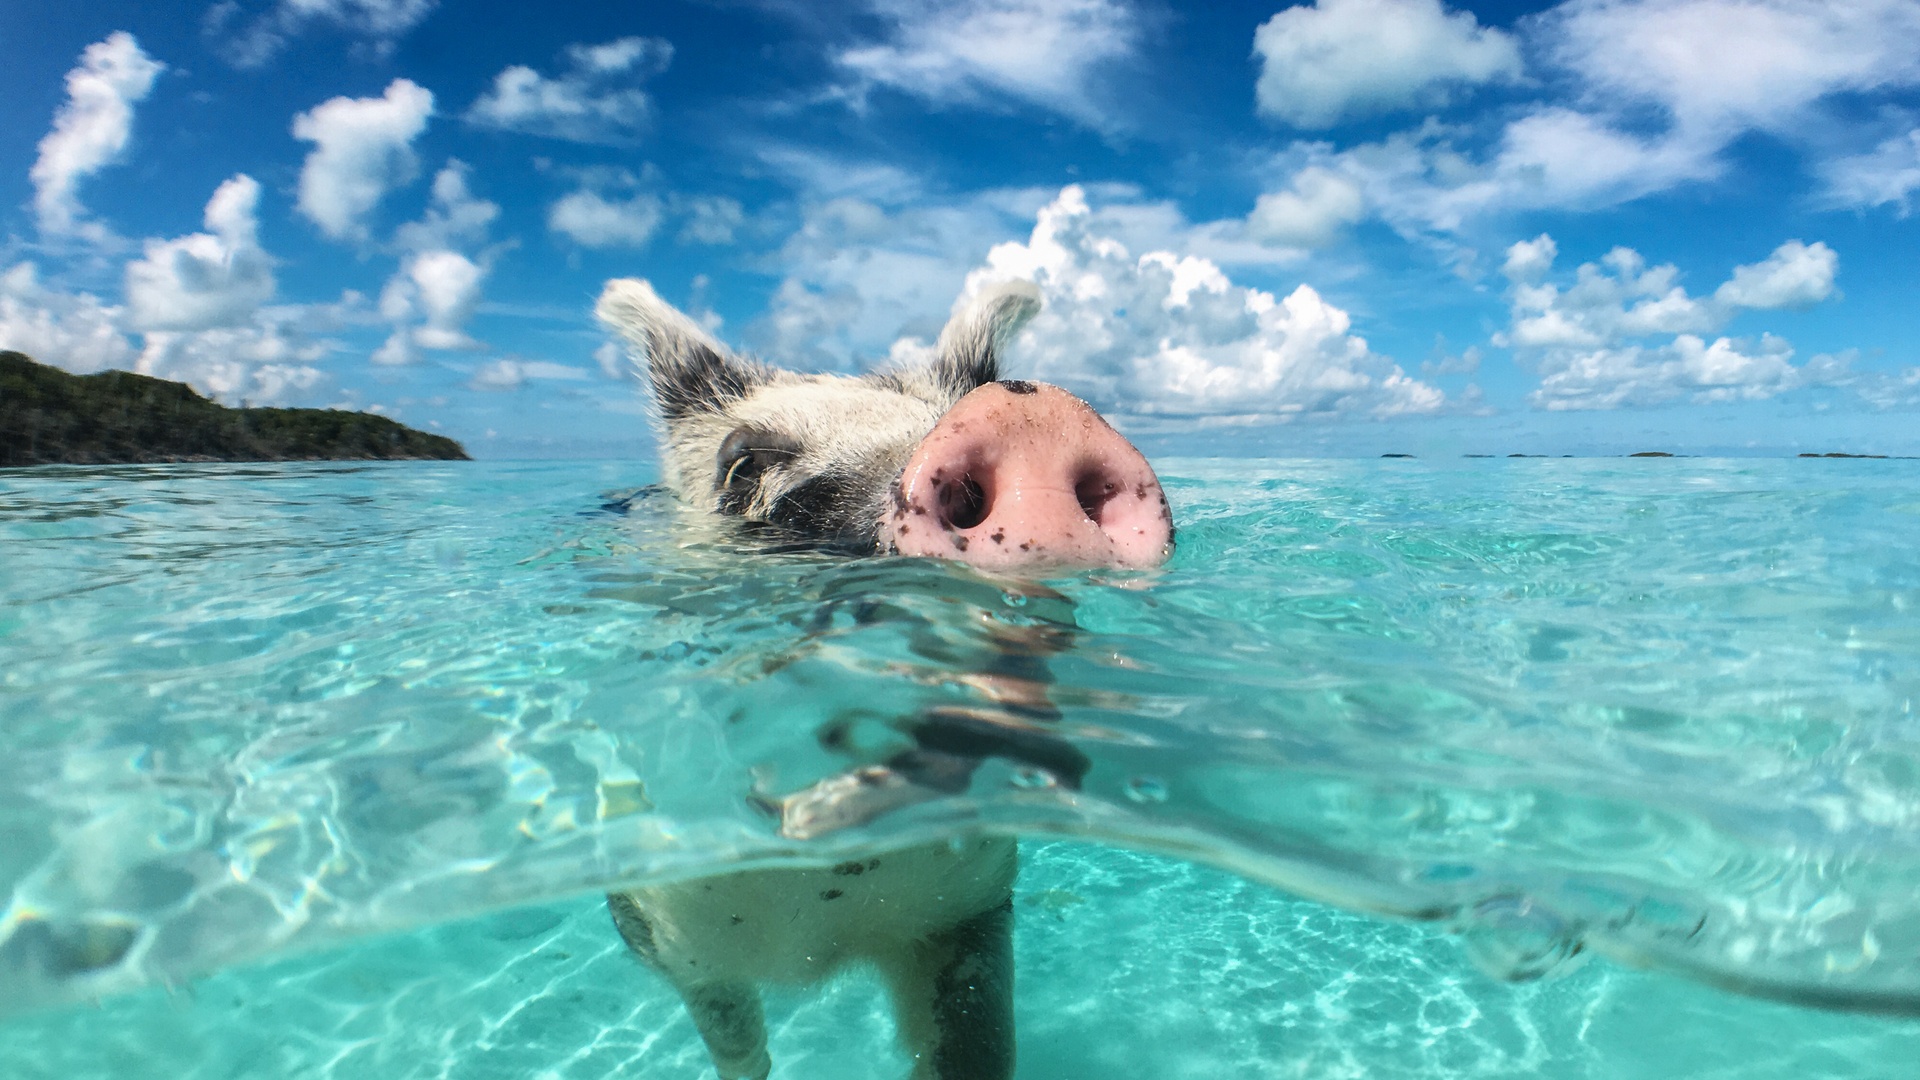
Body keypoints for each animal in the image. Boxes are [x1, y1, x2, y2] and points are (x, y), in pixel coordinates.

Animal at [592, 277, 1173, 1080]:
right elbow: (736, 1044)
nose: (1030, 416)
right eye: (741, 467)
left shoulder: (972, 910)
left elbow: (975, 1044)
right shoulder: (673, 932)